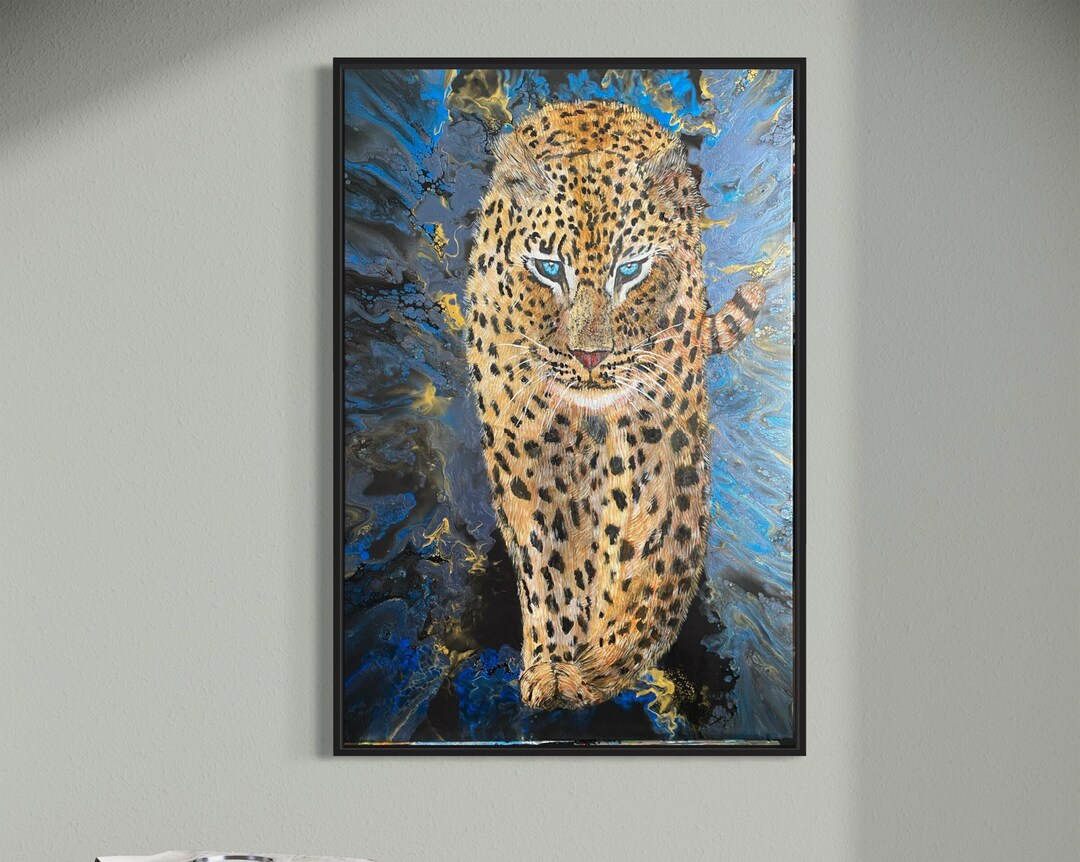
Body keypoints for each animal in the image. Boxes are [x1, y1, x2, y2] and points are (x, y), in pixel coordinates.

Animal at [464, 100, 764, 710]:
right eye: (548, 269)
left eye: (630, 270)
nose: (590, 355)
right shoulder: (523, 453)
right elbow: (544, 559)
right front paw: (553, 666)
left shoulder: (660, 439)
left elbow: (645, 553)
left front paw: (606, 666)